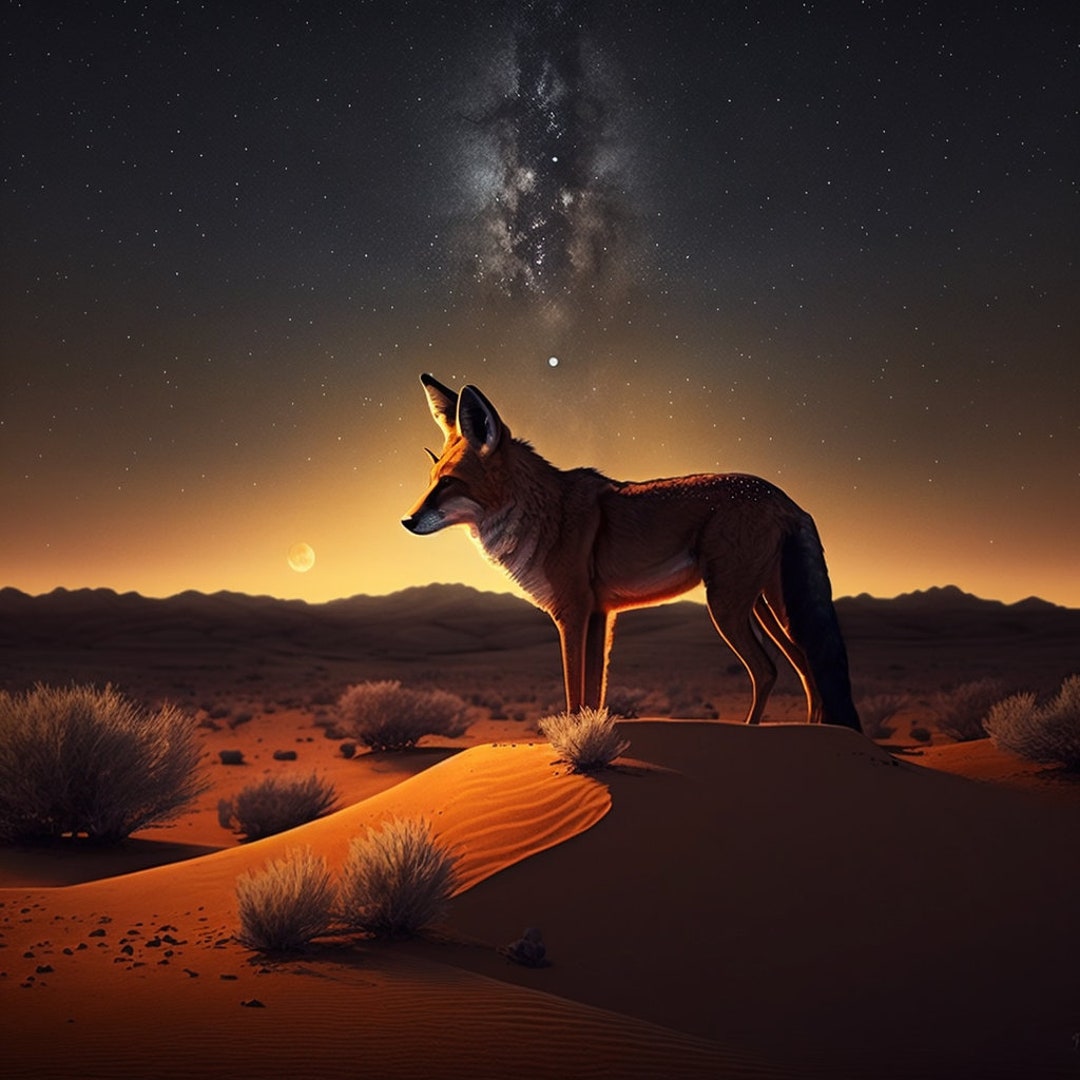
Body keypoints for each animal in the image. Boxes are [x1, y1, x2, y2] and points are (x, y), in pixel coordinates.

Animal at [402, 373, 861, 731]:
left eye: (448, 482)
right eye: (430, 479)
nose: (407, 520)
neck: (546, 515)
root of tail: (785, 497)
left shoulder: (572, 614)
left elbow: (574, 694)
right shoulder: (600, 615)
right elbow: (592, 695)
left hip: (728, 606)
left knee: (769, 669)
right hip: (766, 605)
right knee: (806, 664)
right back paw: (817, 732)